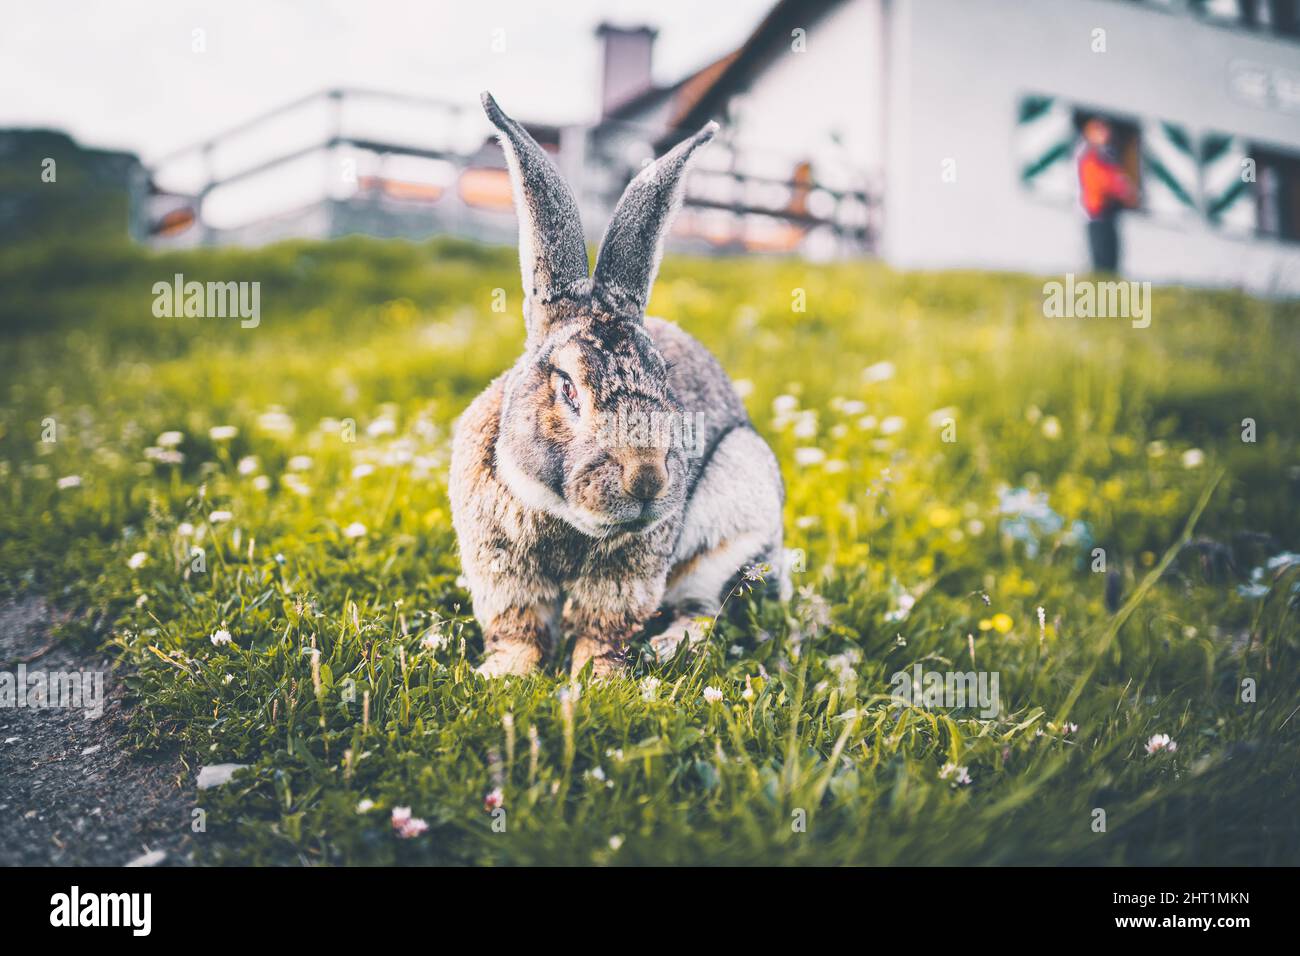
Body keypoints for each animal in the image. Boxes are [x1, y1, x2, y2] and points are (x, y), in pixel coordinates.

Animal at [450, 92, 788, 679]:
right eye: (567, 388)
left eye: (663, 378)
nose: (647, 479)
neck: (565, 518)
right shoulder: (499, 569)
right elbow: (518, 631)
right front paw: (505, 676)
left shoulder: (627, 577)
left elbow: (602, 632)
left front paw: (597, 680)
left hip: (736, 516)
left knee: (705, 608)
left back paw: (667, 647)